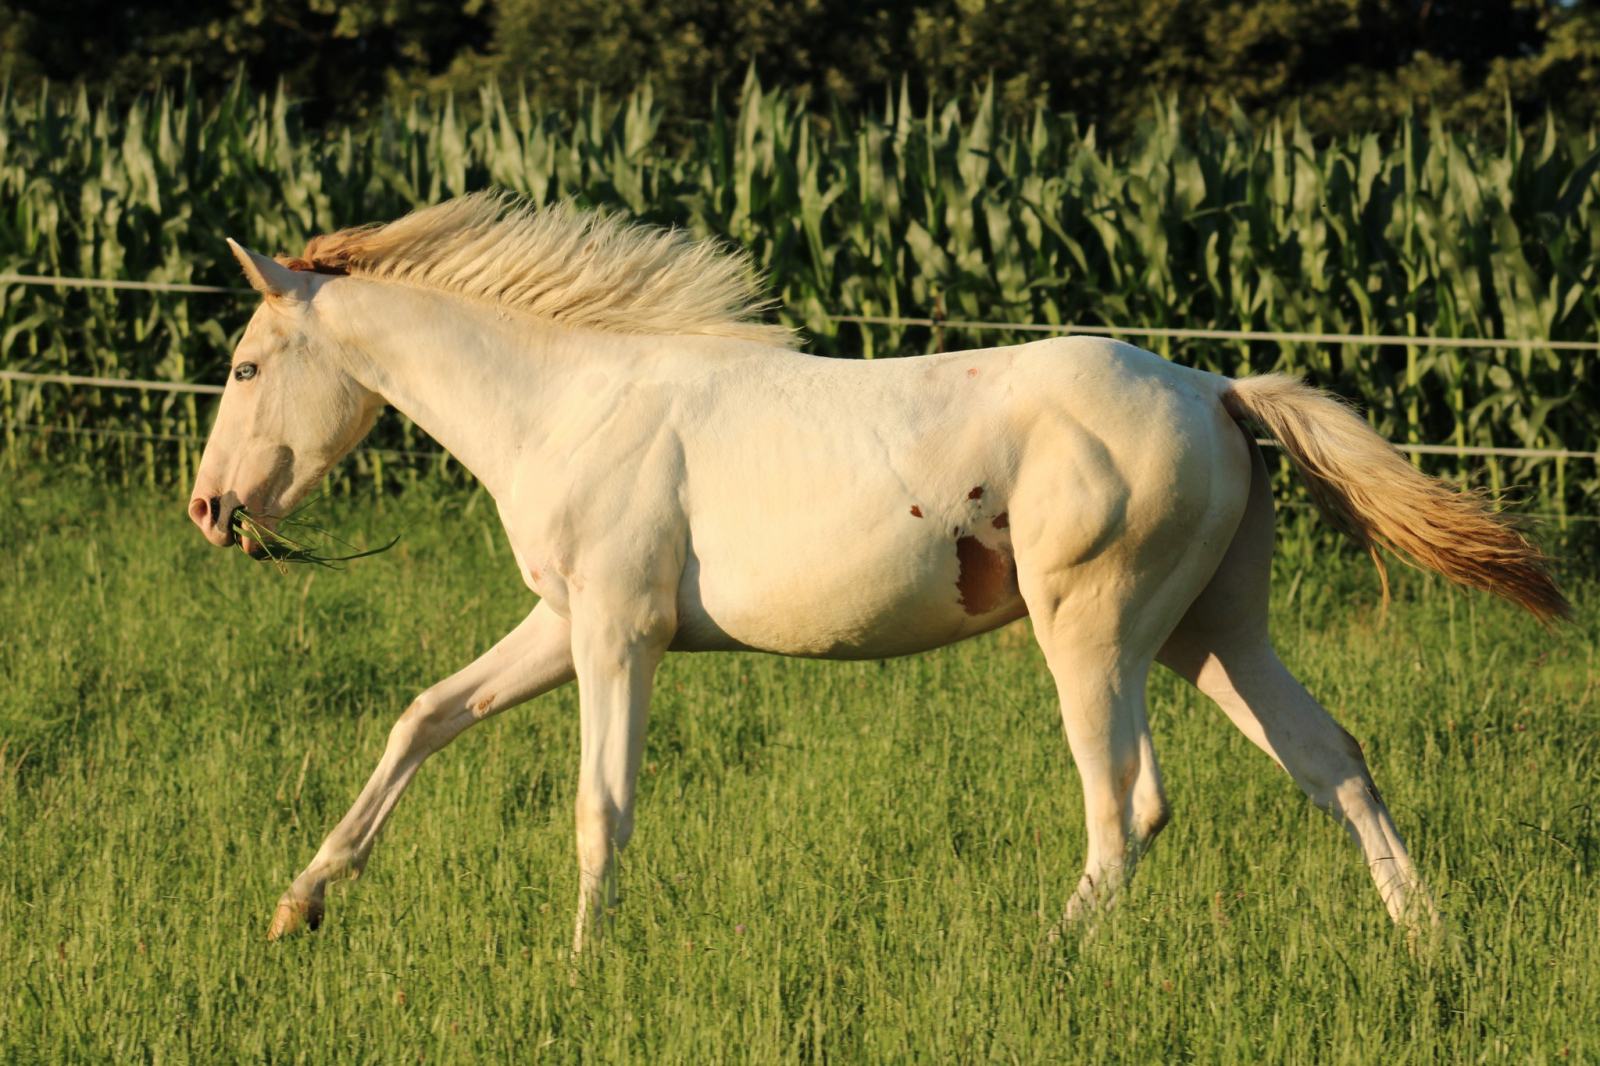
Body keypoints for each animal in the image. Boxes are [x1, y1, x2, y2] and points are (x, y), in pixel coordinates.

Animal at [186, 192, 1569, 952]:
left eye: (247, 367)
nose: (209, 510)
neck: (573, 402)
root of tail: (1217, 389)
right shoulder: (560, 622)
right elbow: (425, 717)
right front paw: (299, 907)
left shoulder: (617, 634)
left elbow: (599, 806)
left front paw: (578, 969)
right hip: (1210, 635)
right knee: (1334, 763)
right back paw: (1431, 950)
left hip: (1095, 635)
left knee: (1125, 809)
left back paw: (1042, 962)